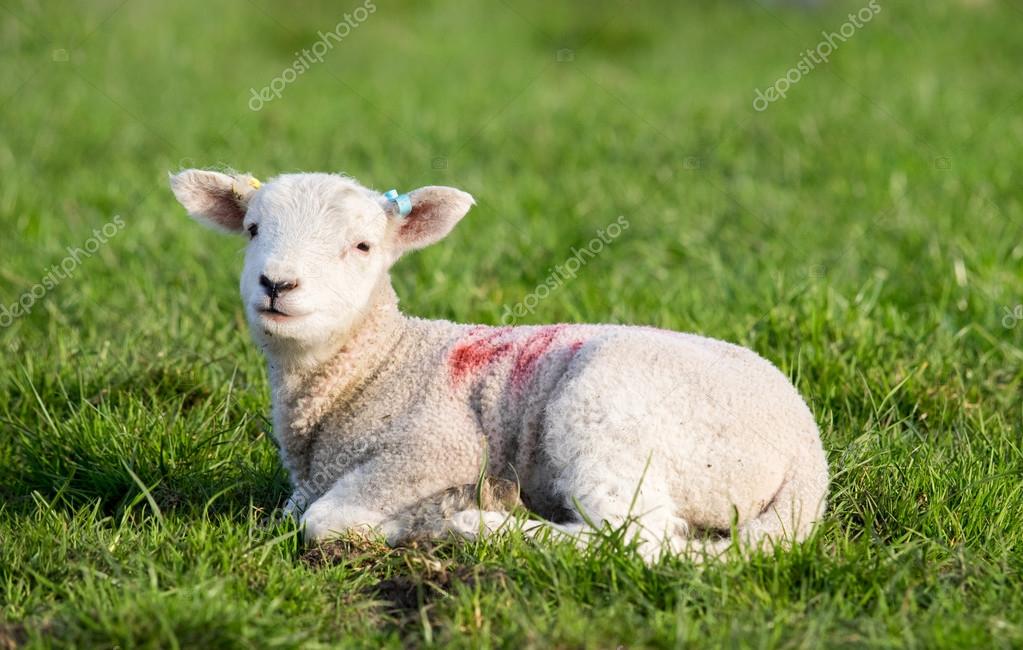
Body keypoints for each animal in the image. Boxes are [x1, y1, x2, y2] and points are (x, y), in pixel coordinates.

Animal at [169, 169, 829, 561]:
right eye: (252, 229)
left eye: (362, 246)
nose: (277, 284)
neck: (381, 365)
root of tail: (808, 457)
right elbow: (293, 511)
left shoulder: (438, 445)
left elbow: (323, 520)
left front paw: (412, 521)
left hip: (607, 413)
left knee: (639, 540)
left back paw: (478, 525)